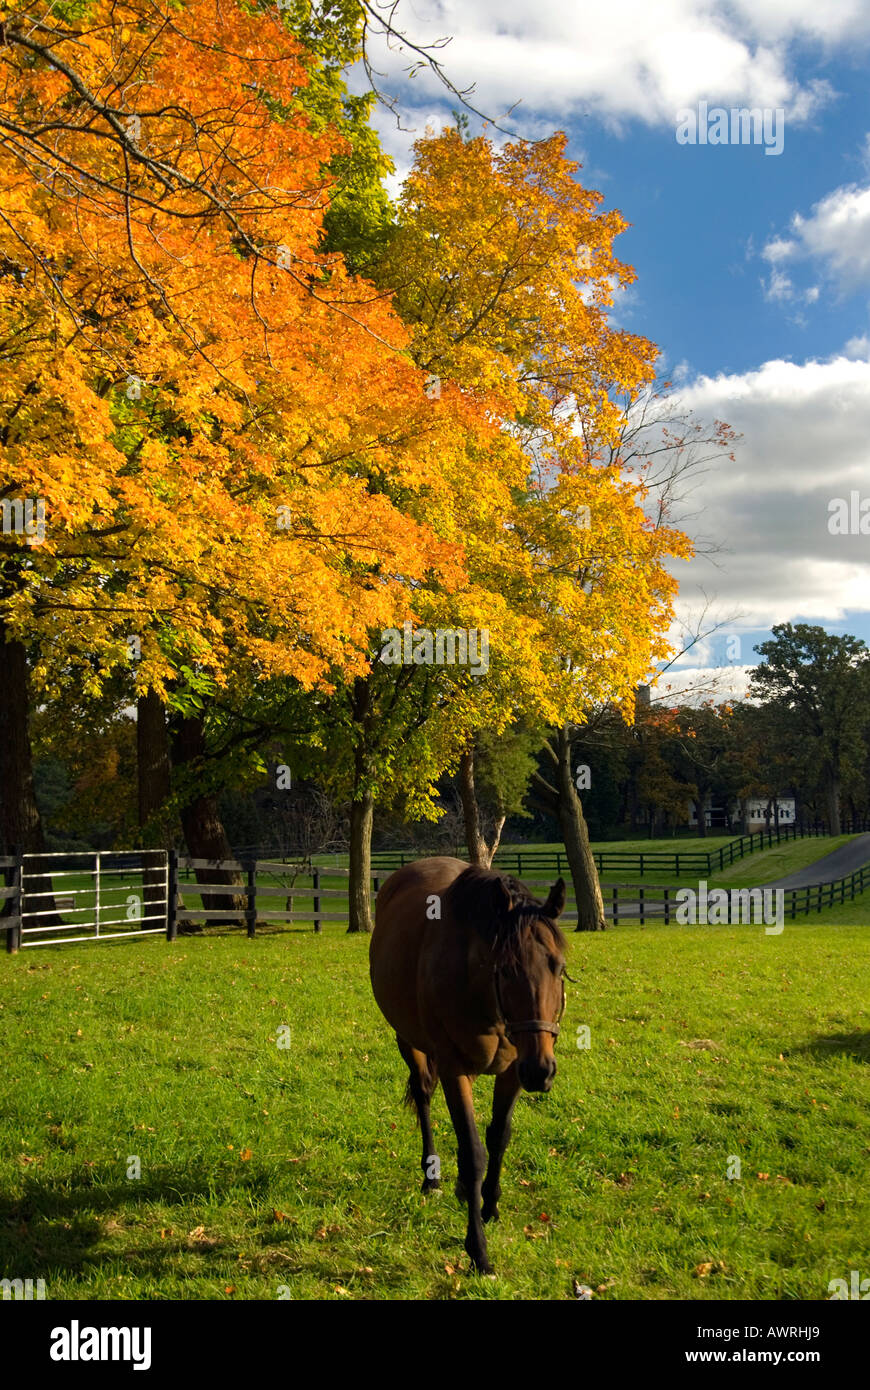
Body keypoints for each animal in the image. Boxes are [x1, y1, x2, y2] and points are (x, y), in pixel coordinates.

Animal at [369, 855, 568, 1274]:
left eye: (558, 967)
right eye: (506, 968)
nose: (541, 1071)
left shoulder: (512, 1071)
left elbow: (497, 1137)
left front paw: (489, 1205)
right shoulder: (452, 1066)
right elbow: (474, 1152)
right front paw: (478, 1251)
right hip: (409, 1042)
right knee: (424, 1095)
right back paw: (433, 1179)